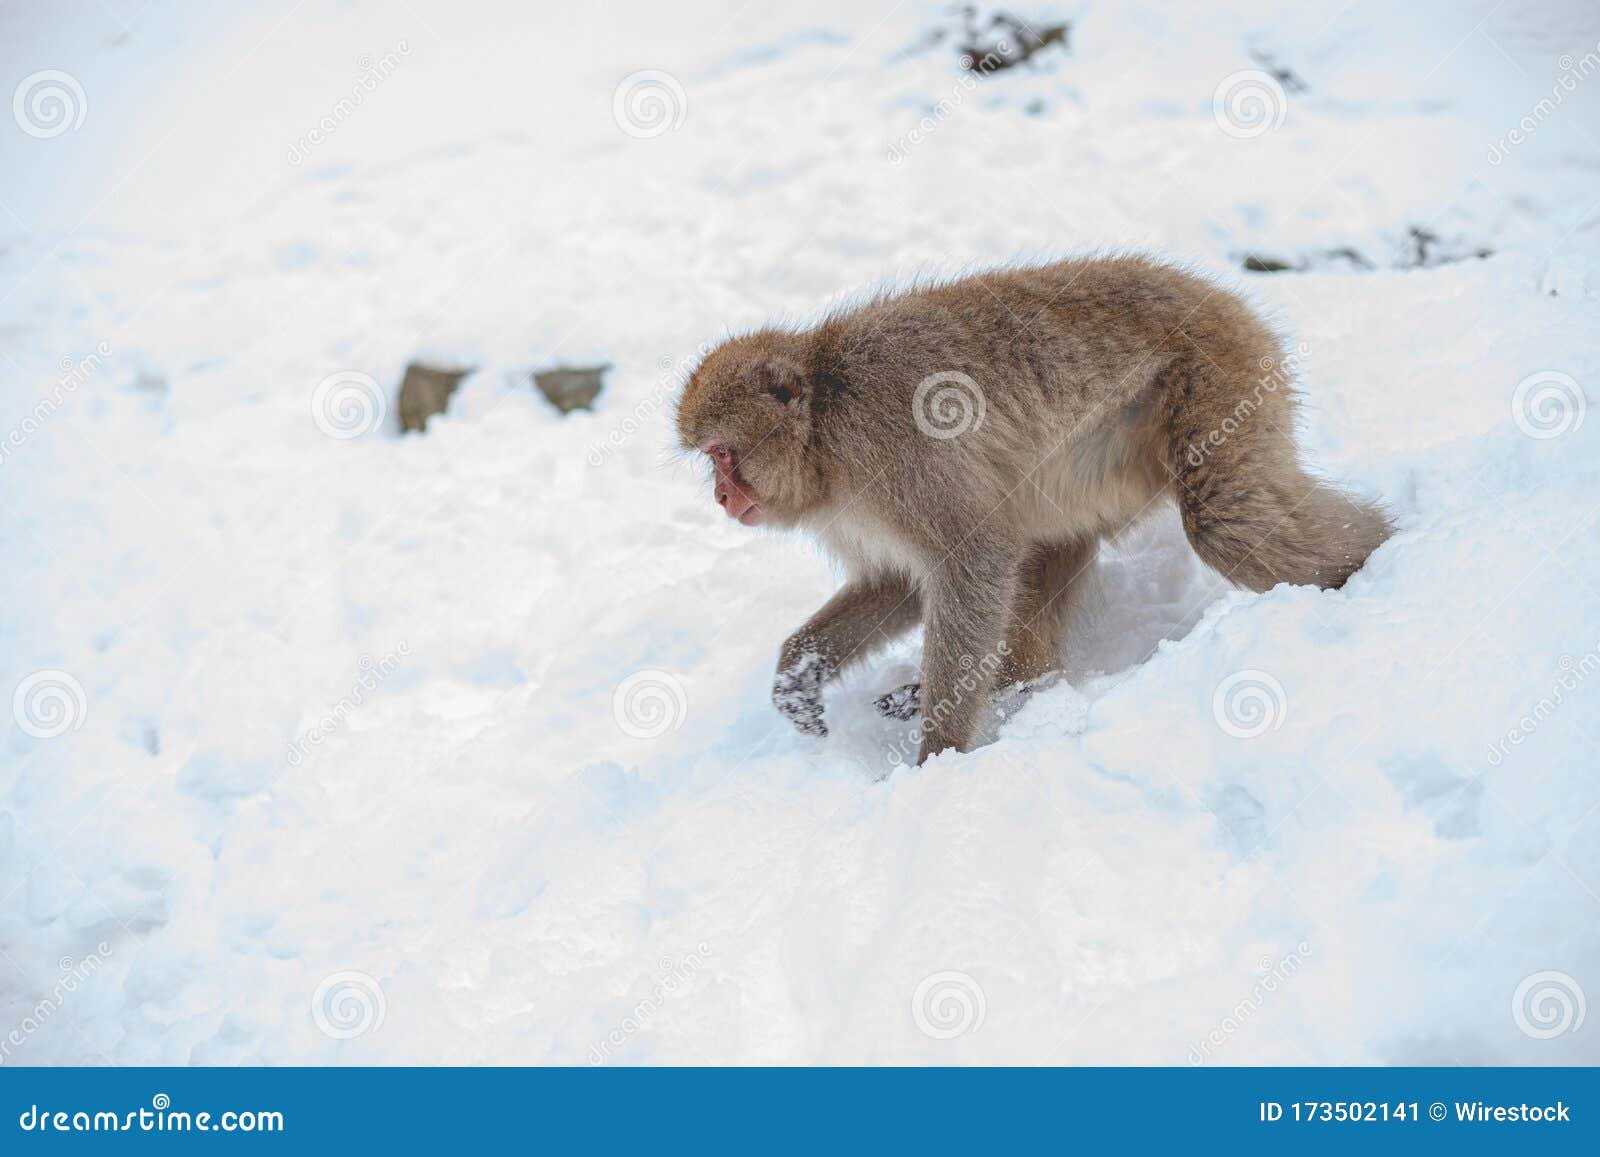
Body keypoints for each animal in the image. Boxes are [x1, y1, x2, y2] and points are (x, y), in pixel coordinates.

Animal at [675, 255, 1392, 765]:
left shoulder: (895, 450)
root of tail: (1227, 300)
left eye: (722, 452)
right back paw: (1021, 678)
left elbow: (973, 555)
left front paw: (937, 755)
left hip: (1221, 379)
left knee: (1225, 523)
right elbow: (901, 581)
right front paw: (798, 674)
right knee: (1047, 531)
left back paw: (1382, 556)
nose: (721, 495)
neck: (824, 428)